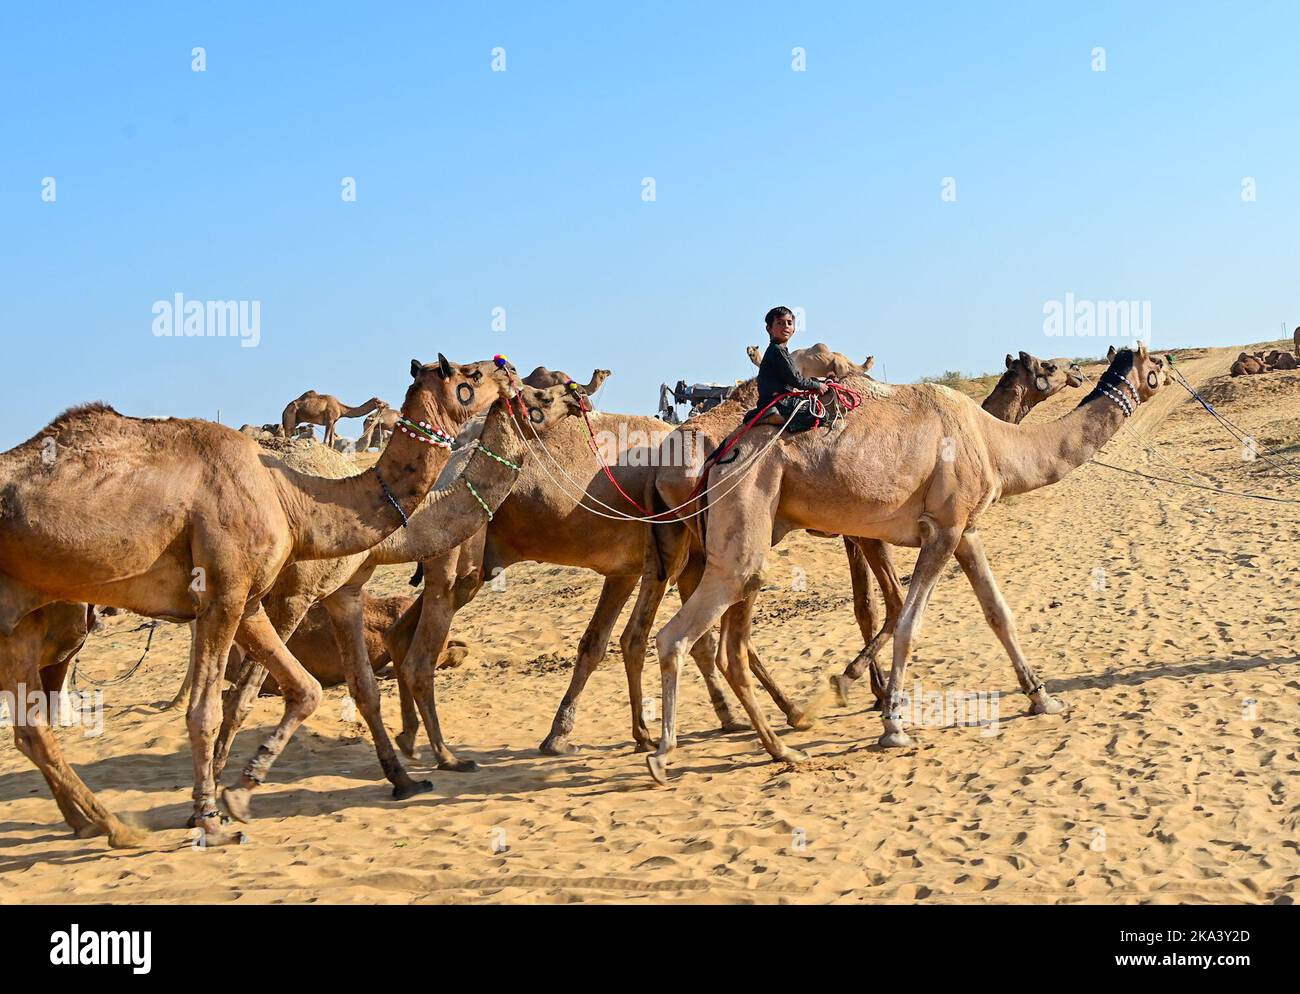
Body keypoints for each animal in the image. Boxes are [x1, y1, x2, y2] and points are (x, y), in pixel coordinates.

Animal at [0, 353, 526, 845]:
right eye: (470, 373)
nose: (512, 375)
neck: (297, 501)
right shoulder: (236, 593)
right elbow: (216, 708)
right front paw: (209, 818)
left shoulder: (257, 599)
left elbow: (312, 689)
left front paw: (237, 793)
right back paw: (110, 825)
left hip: (18, 623)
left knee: (31, 728)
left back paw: (99, 824)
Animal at [640, 344, 1169, 783]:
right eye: (1047, 366)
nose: (1078, 369)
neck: (991, 440)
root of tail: (718, 456)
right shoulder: (940, 529)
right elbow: (907, 620)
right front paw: (891, 722)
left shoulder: (965, 530)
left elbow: (998, 612)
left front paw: (1042, 696)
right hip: (743, 513)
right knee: (675, 636)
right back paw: (664, 754)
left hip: (750, 533)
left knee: (729, 644)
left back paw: (783, 745)